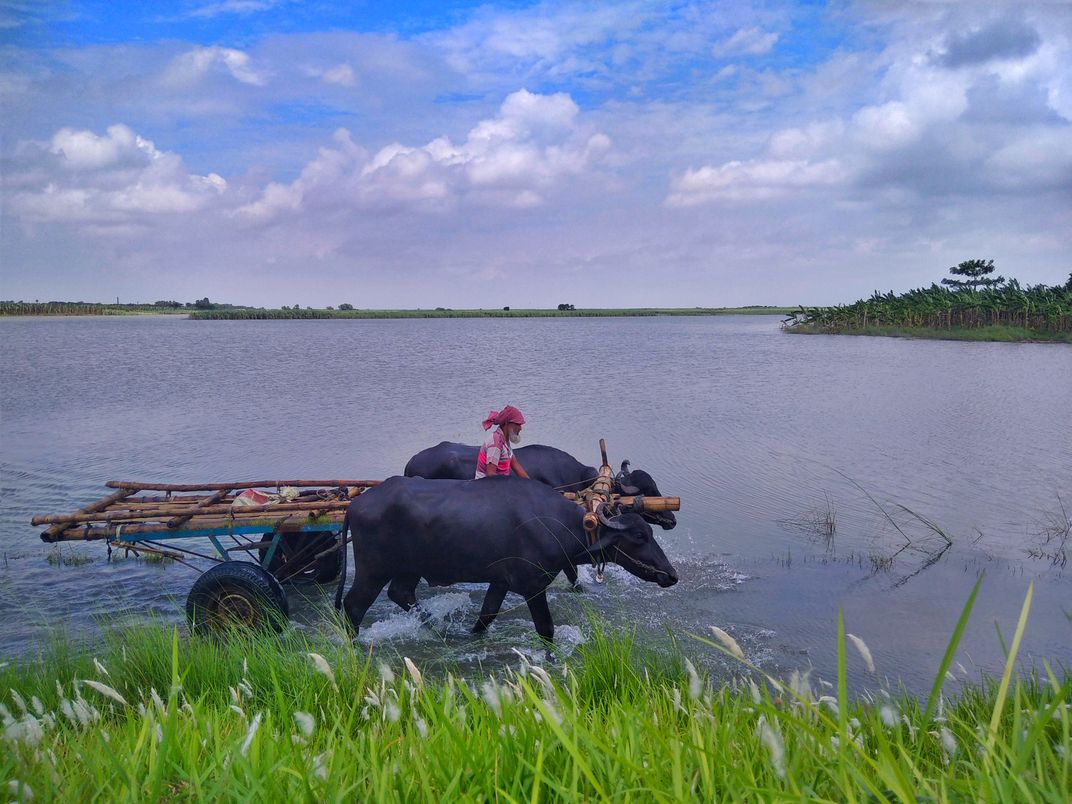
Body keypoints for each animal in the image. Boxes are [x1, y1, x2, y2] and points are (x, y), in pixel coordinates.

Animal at [337, 475, 678, 643]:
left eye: (649, 532)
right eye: (639, 537)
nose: (671, 575)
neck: (557, 524)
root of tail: (355, 506)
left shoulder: (499, 582)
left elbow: (485, 617)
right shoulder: (532, 585)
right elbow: (546, 628)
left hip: (410, 568)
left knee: (401, 593)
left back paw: (435, 627)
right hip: (373, 571)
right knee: (353, 606)